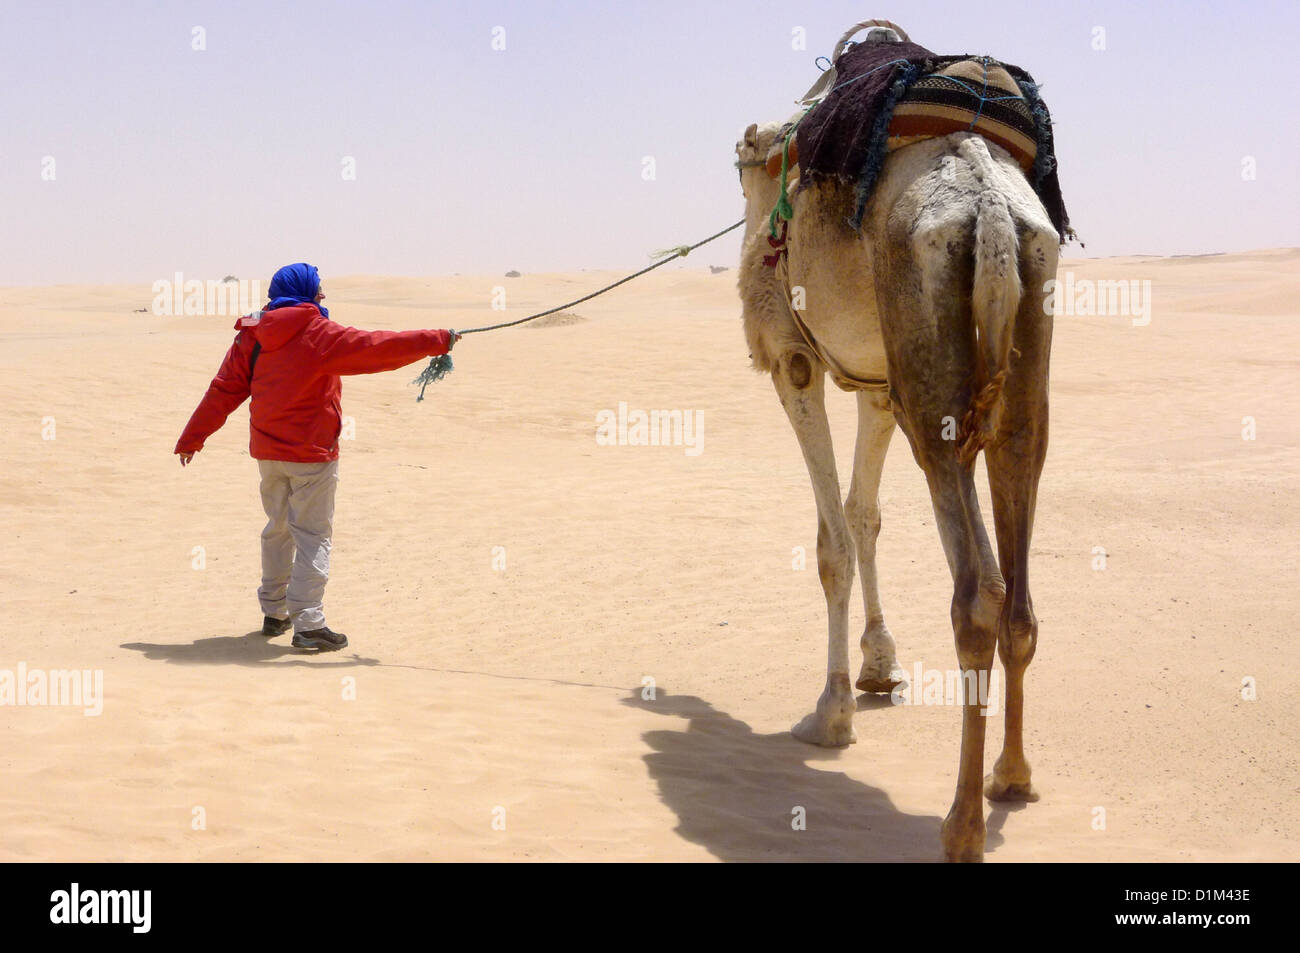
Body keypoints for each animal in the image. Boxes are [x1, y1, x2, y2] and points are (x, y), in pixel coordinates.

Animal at [735, 39, 1060, 863]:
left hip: (927, 352)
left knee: (978, 592)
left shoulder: (794, 360)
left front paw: (830, 714)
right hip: (1028, 318)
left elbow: (832, 541)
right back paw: (1012, 778)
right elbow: (864, 513)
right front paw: (879, 667)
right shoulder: (875, 383)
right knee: (1019, 569)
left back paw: (961, 824)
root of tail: (989, 205)